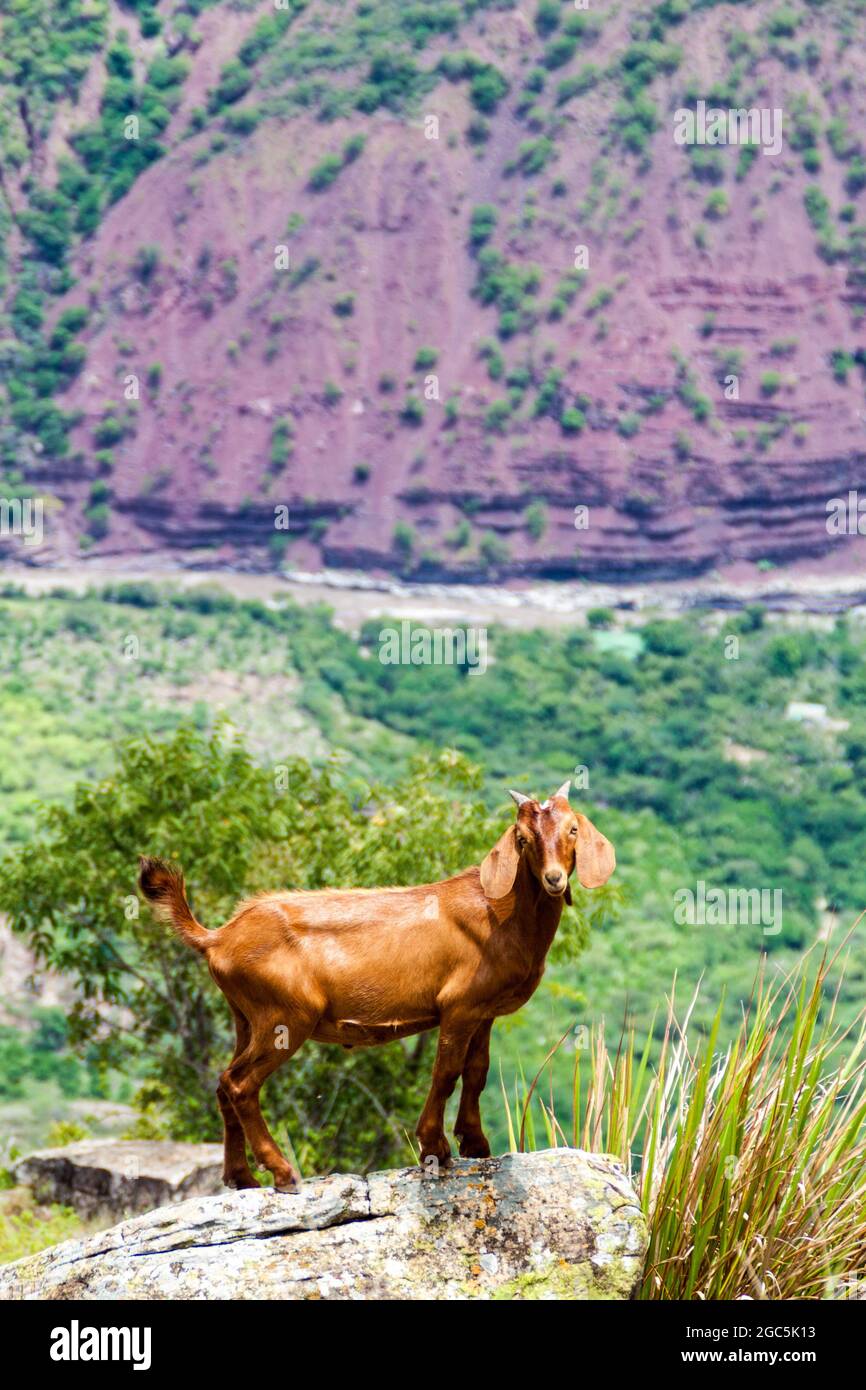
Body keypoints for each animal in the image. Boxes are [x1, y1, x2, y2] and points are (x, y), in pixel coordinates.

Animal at [138, 780, 615, 1192]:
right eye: (522, 837)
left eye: (572, 828)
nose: (554, 879)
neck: (499, 913)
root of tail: (217, 937)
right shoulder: (458, 1006)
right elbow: (446, 1072)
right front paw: (436, 1149)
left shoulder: (484, 1012)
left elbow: (476, 1073)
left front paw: (477, 1146)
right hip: (286, 1017)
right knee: (240, 1083)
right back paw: (282, 1172)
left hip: (245, 1017)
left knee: (223, 1083)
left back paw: (242, 1177)